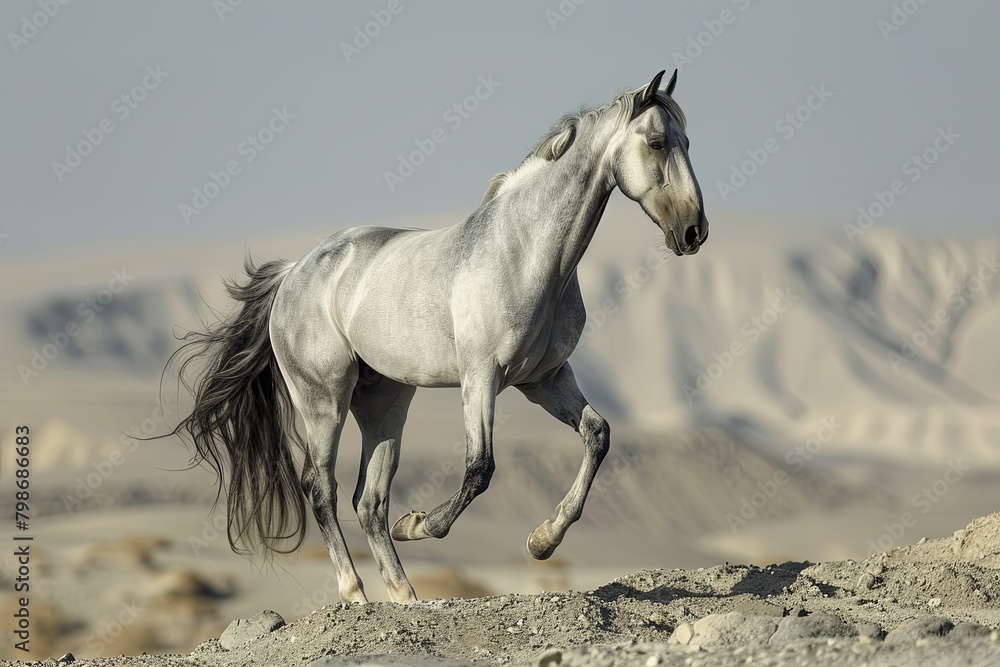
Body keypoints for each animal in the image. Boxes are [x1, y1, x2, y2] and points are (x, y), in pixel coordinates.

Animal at [169, 69, 707, 605]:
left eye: (686, 141)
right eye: (657, 143)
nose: (694, 232)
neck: (528, 255)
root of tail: (294, 272)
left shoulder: (545, 379)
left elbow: (598, 435)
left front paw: (541, 541)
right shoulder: (481, 378)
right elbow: (480, 468)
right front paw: (420, 524)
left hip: (385, 402)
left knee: (369, 501)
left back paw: (405, 597)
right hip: (324, 400)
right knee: (320, 489)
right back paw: (356, 593)